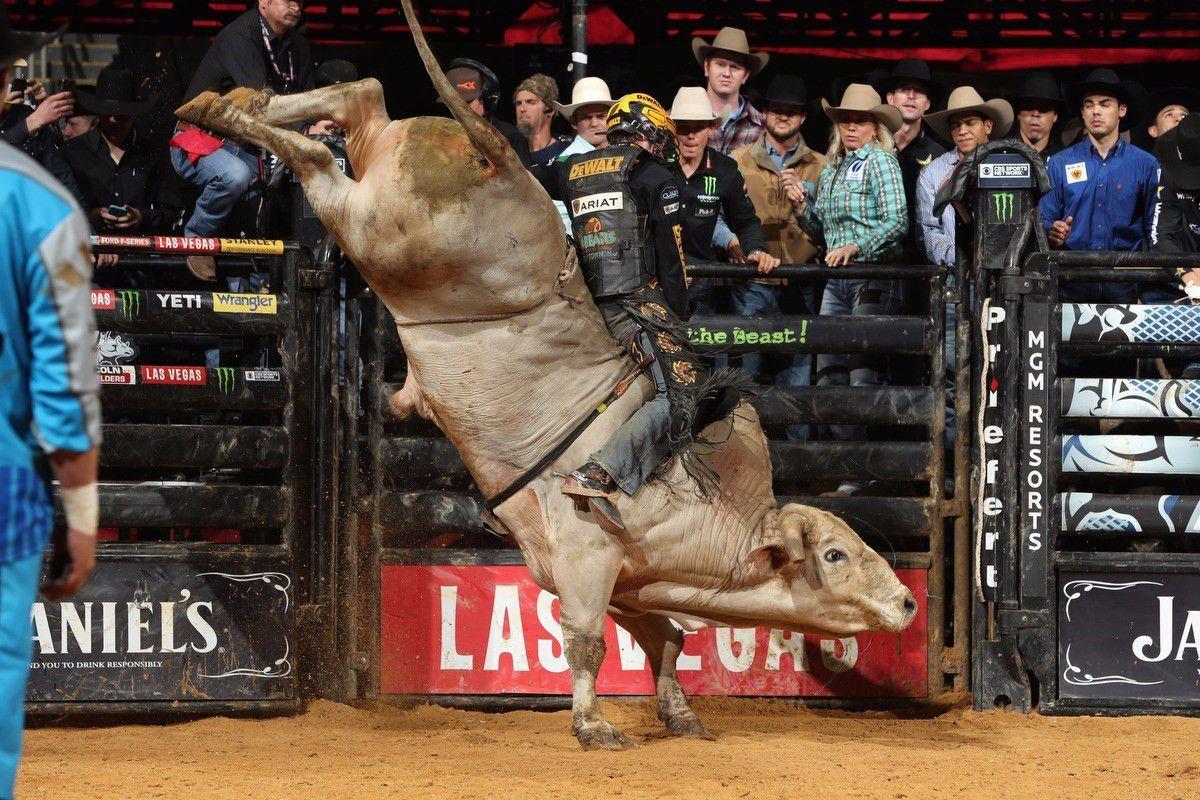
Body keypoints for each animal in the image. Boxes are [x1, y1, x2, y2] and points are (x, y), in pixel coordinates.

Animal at [176, 0, 917, 750]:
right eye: (836, 556)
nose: (908, 600)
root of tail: (499, 158)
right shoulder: (588, 558)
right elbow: (588, 642)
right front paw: (593, 726)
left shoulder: (632, 583)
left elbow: (667, 640)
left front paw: (680, 714)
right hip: (381, 231)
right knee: (323, 160)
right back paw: (234, 112)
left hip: (381, 179)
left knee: (363, 101)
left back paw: (225, 103)